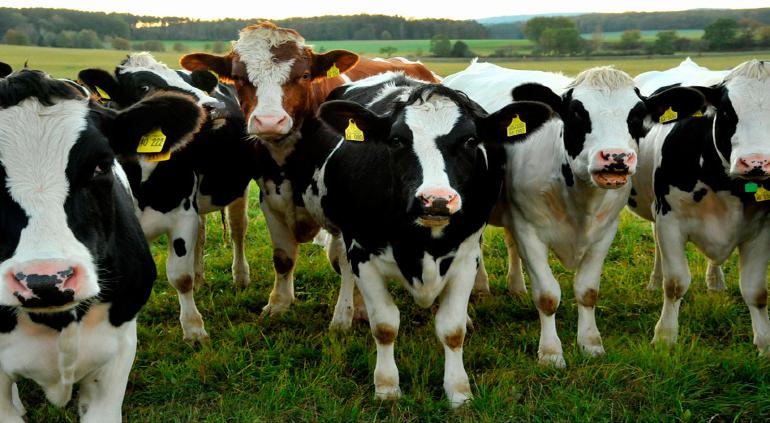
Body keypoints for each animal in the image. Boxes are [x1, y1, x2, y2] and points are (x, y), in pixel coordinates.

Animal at [77, 52, 256, 341]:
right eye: (144, 86)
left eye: (189, 81)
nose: (213, 105)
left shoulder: (182, 214)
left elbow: (180, 277)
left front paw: (194, 329)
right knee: (202, 235)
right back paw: (201, 277)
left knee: (238, 229)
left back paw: (240, 277)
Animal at [178, 22, 441, 327]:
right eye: (239, 77)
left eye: (303, 75)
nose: (269, 121)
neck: (293, 161)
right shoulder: (271, 198)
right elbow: (282, 257)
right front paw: (278, 303)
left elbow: (345, 261)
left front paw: (349, 313)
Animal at [304, 72, 552, 406]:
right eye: (396, 140)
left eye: (470, 140)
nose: (436, 200)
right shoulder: (363, 253)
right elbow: (385, 325)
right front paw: (387, 387)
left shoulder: (465, 257)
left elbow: (452, 329)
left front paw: (459, 392)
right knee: (344, 268)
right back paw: (346, 315)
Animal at [443, 60, 704, 367]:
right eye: (578, 112)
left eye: (637, 114)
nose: (616, 158)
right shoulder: (528, 231)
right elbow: (547, 295)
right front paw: (550, 353)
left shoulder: (604, 233)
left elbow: (587, 291)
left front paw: (590, 343)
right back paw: (480, 288)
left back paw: (516, 286)